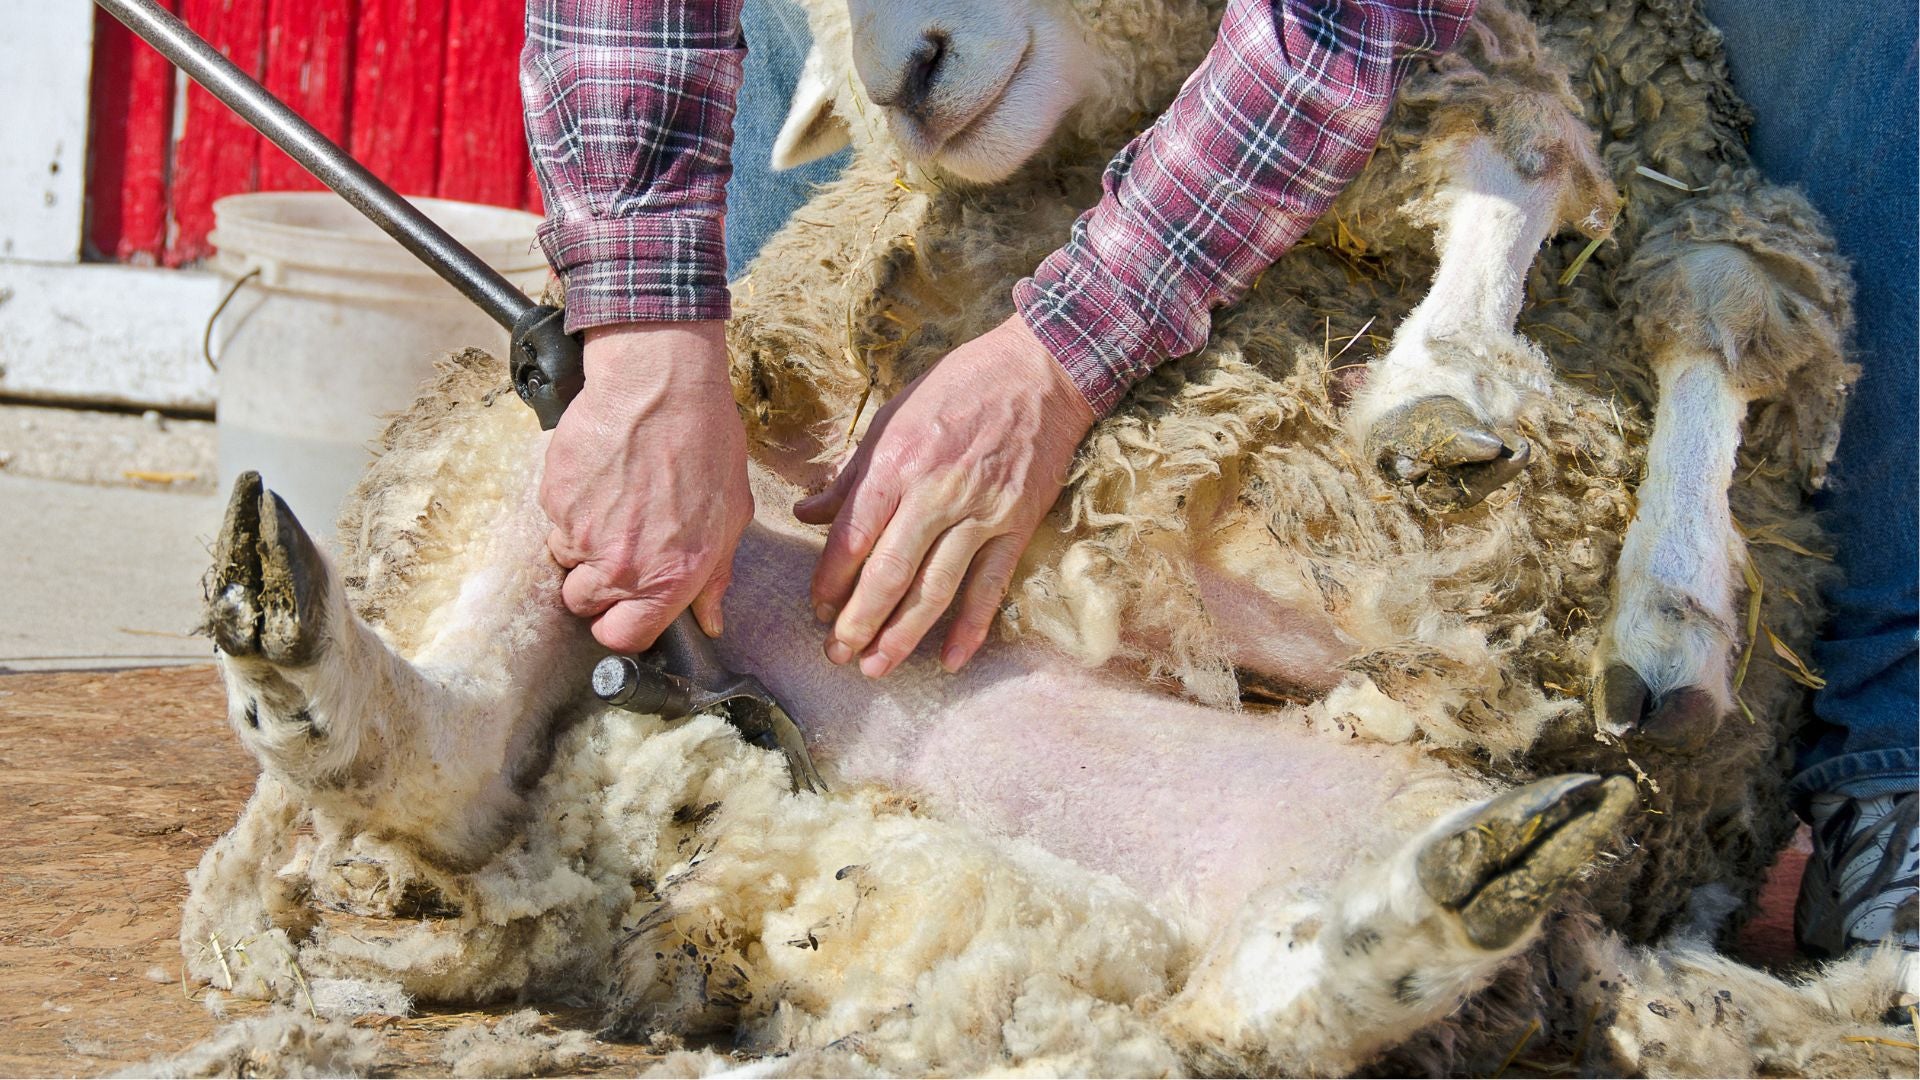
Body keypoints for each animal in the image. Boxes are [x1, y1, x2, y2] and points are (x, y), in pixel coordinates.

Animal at [171, 0, 1915, 1074]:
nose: (907, 76)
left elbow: (1699, 265)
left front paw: (1635, 582)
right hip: (649, 447)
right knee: (470, 745)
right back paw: (301, 644)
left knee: (1217, 1014)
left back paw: (1446, 888)